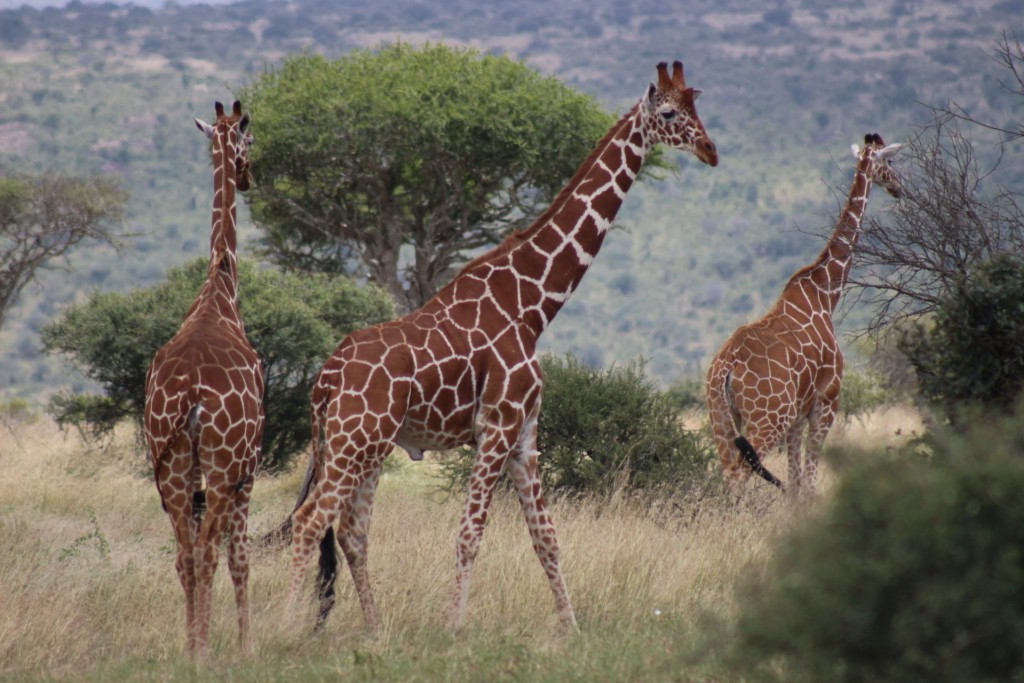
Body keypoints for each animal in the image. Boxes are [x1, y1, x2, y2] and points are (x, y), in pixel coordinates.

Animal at [284, 61, 718, 631]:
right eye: (668, 113)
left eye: (696, 106)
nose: (710, 149)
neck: (531, 304)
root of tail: (325, 379)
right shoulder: (498, 423)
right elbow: (469, 534)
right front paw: (453, 627)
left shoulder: (525, 433)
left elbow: (546, 536)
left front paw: (571, 628)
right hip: (354, 440)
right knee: (309, 523)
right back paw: (276, 629)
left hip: (365, 446)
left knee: (352, 534)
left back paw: (375, 631)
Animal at [705, 133, 902, 497]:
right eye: (891, 162)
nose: (899, 187)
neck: (825, 293)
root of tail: (726, 367)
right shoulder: (826, 403)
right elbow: (809, 484)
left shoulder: (798, 414)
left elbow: (796, 483)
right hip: (768, 418)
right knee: (739, 475)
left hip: (722, 418)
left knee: (725, 474)